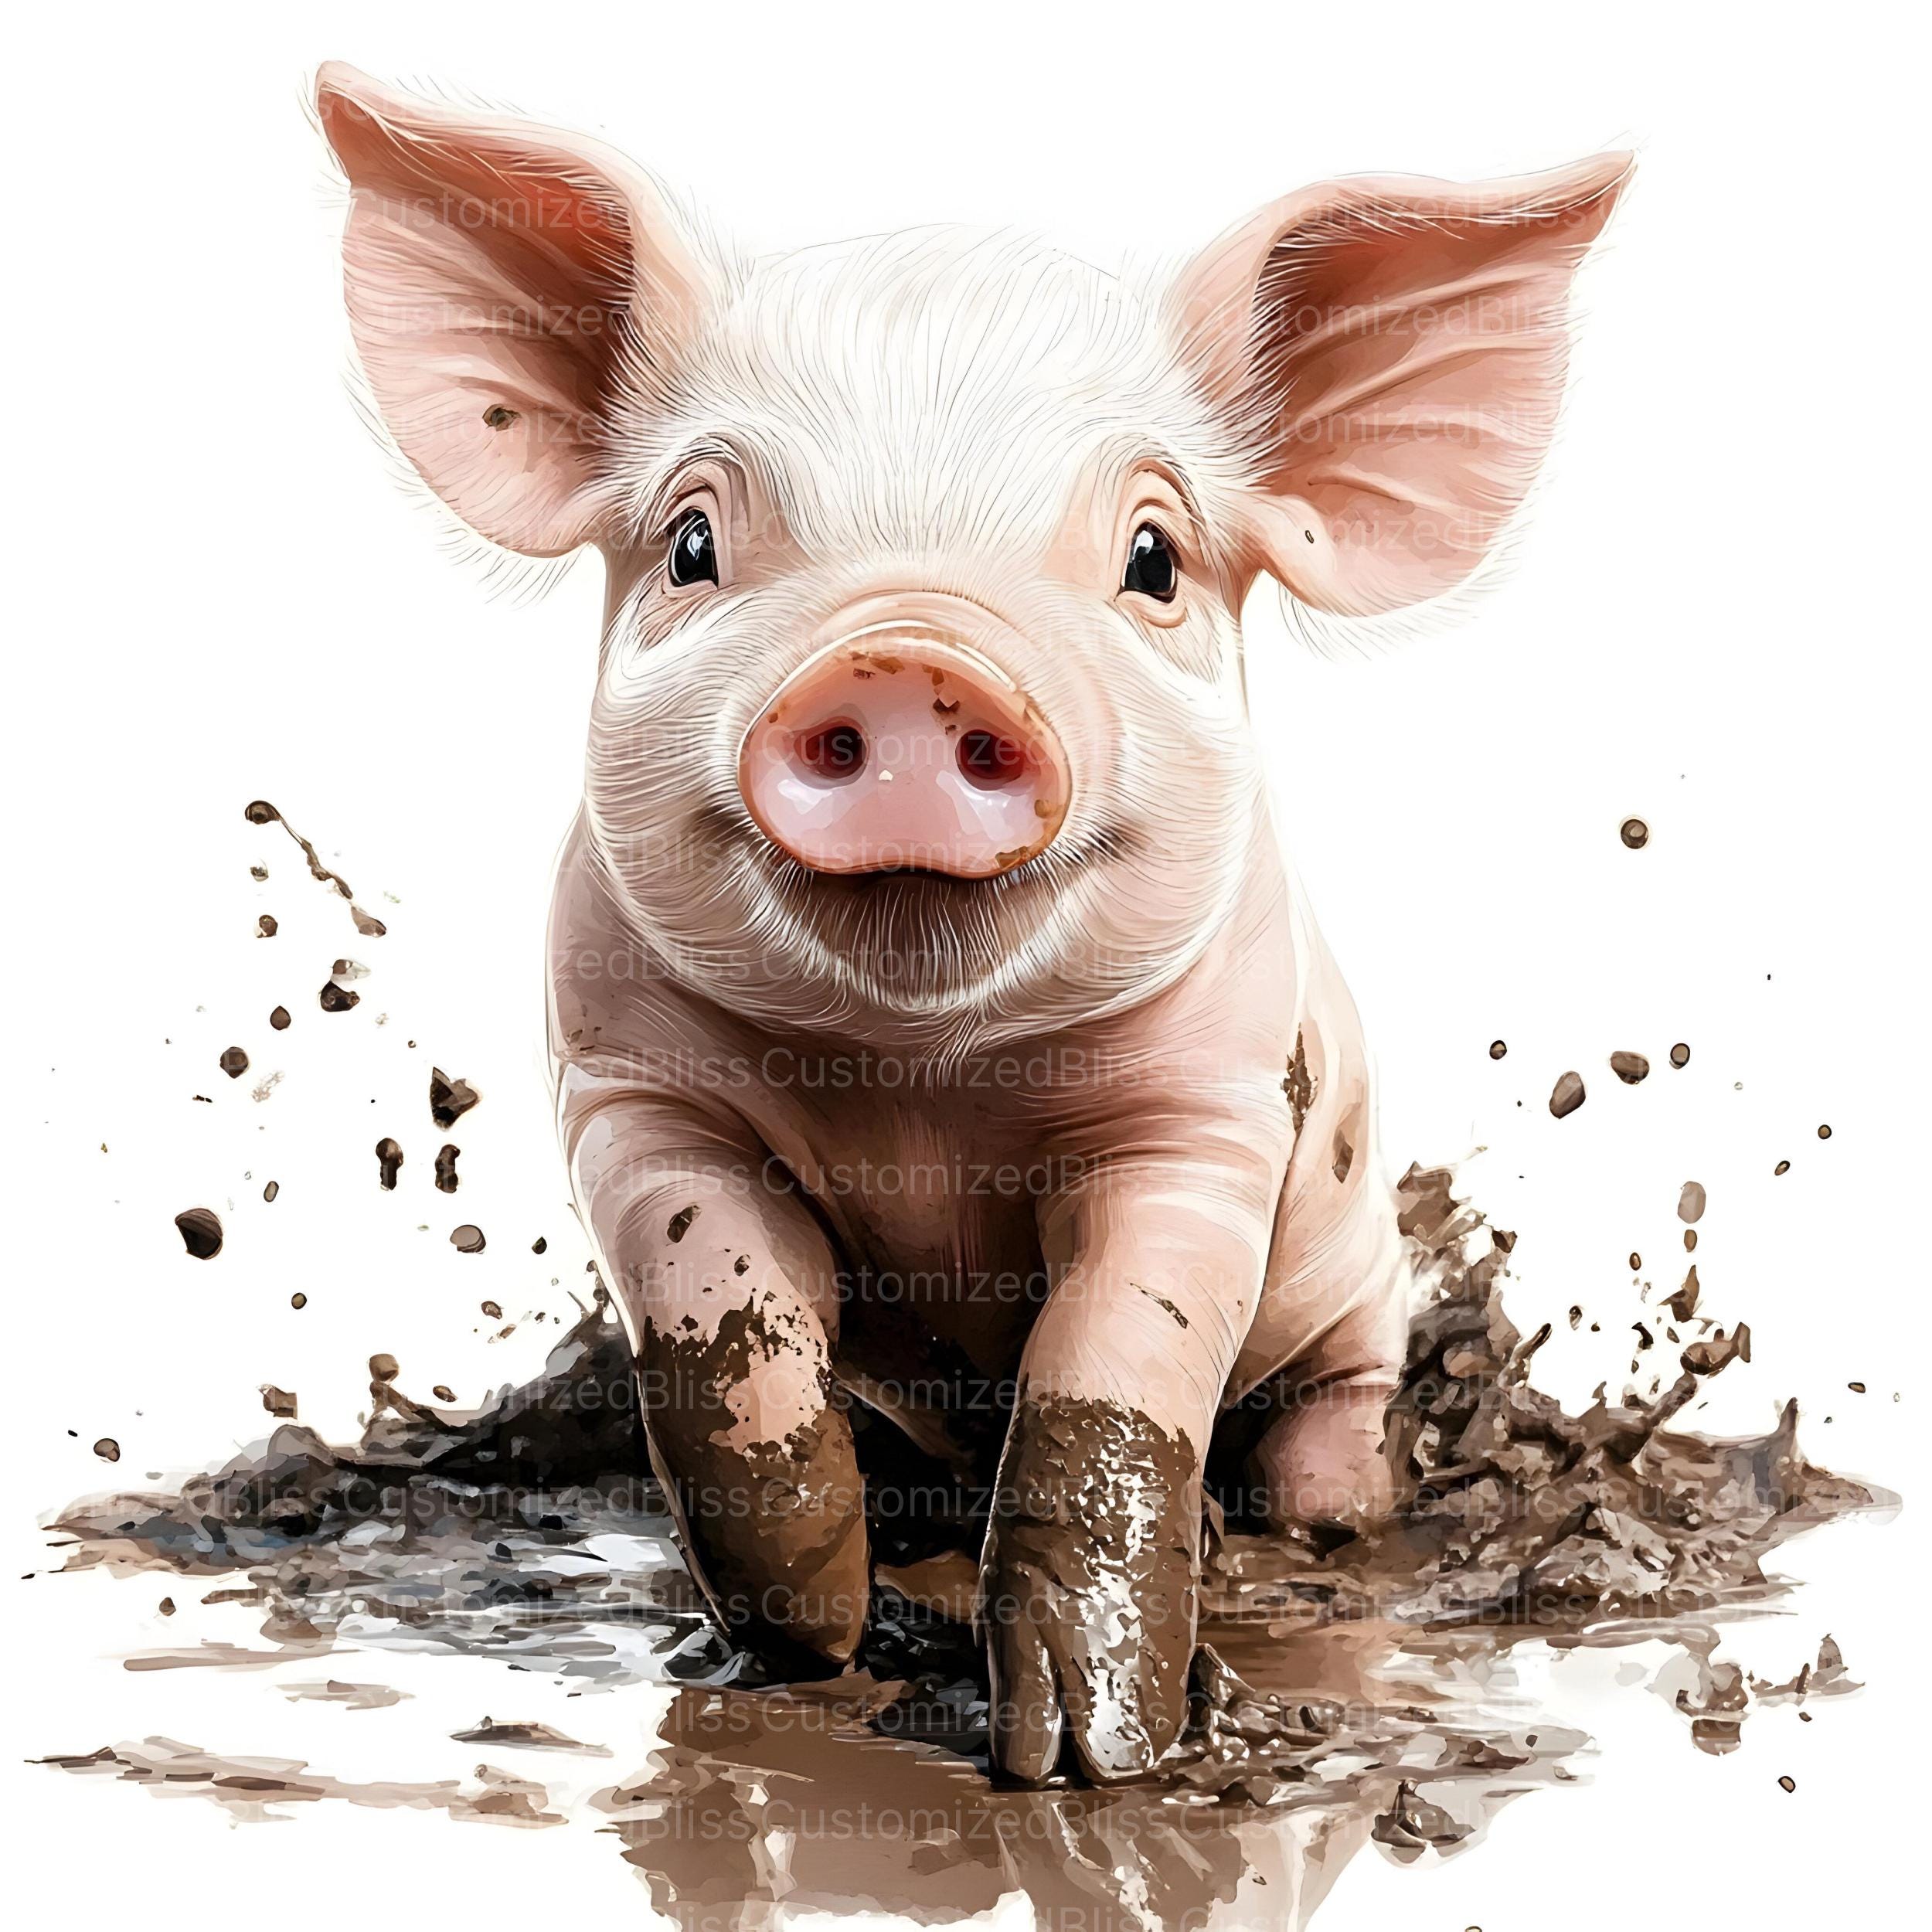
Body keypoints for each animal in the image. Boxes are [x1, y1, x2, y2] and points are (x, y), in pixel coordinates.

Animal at [315, 63, 1628, 1783]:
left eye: (1152, 557)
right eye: (690, 542)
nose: (907, 659)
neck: (923, 1091)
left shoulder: (1204, 1124)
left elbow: (1110, 1374)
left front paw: (1087, 1759)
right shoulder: (629, 1095)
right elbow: (722, 1341)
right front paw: (800, 1642)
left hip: (1354, 1282)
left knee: (1332, 1403)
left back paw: (1320, 1536)